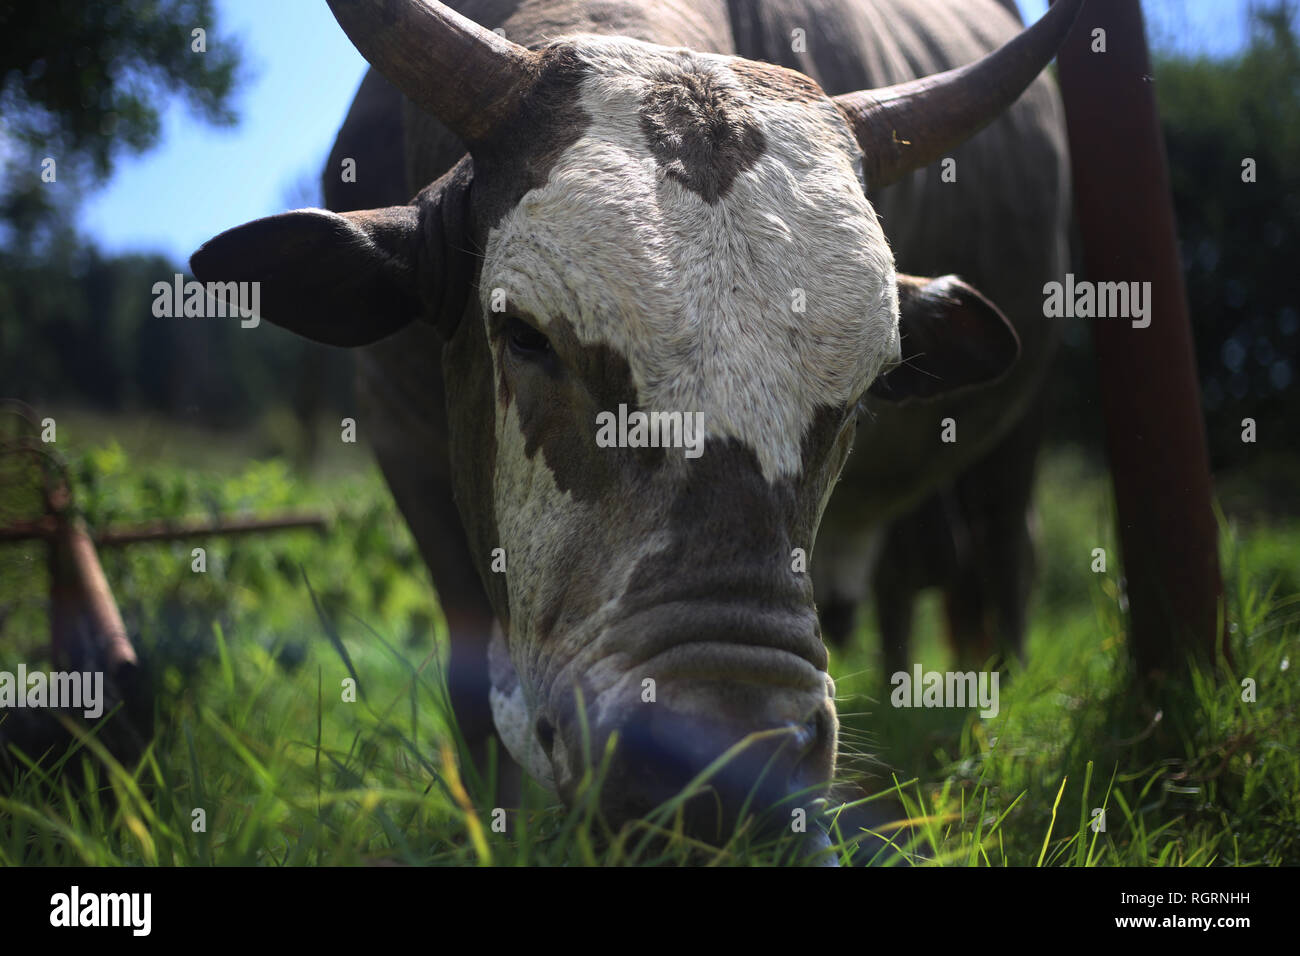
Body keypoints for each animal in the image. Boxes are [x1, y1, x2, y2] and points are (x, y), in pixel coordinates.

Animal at [191, 0, 1078, 844]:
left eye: (870, 388)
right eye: (525, 334)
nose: (726, 768)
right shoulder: (395, 432)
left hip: (1020, 436)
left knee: (1006, 559)